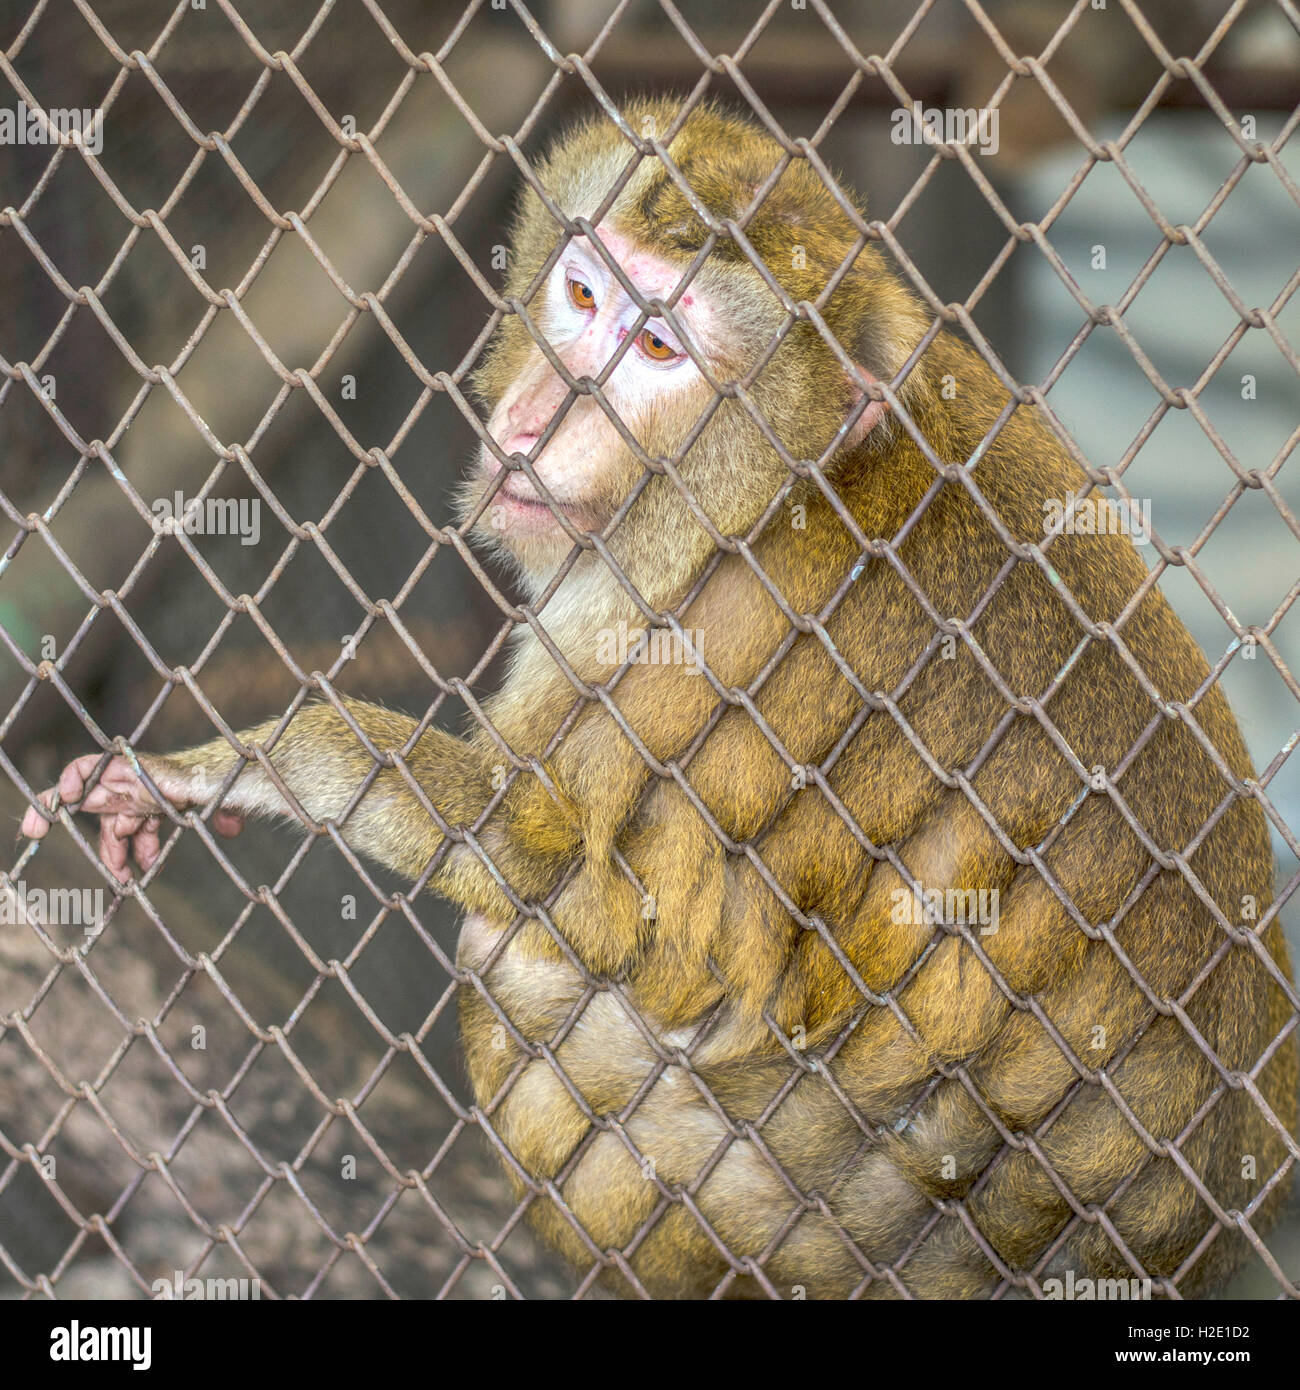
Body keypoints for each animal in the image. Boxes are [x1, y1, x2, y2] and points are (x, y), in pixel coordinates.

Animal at [21, 99, 1298, 1299]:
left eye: (655, 345)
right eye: (582, 291)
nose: (536, 416)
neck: (785, 479)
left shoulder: (701, 634)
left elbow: (566, 877)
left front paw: (249, 761)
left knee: (520, 957)